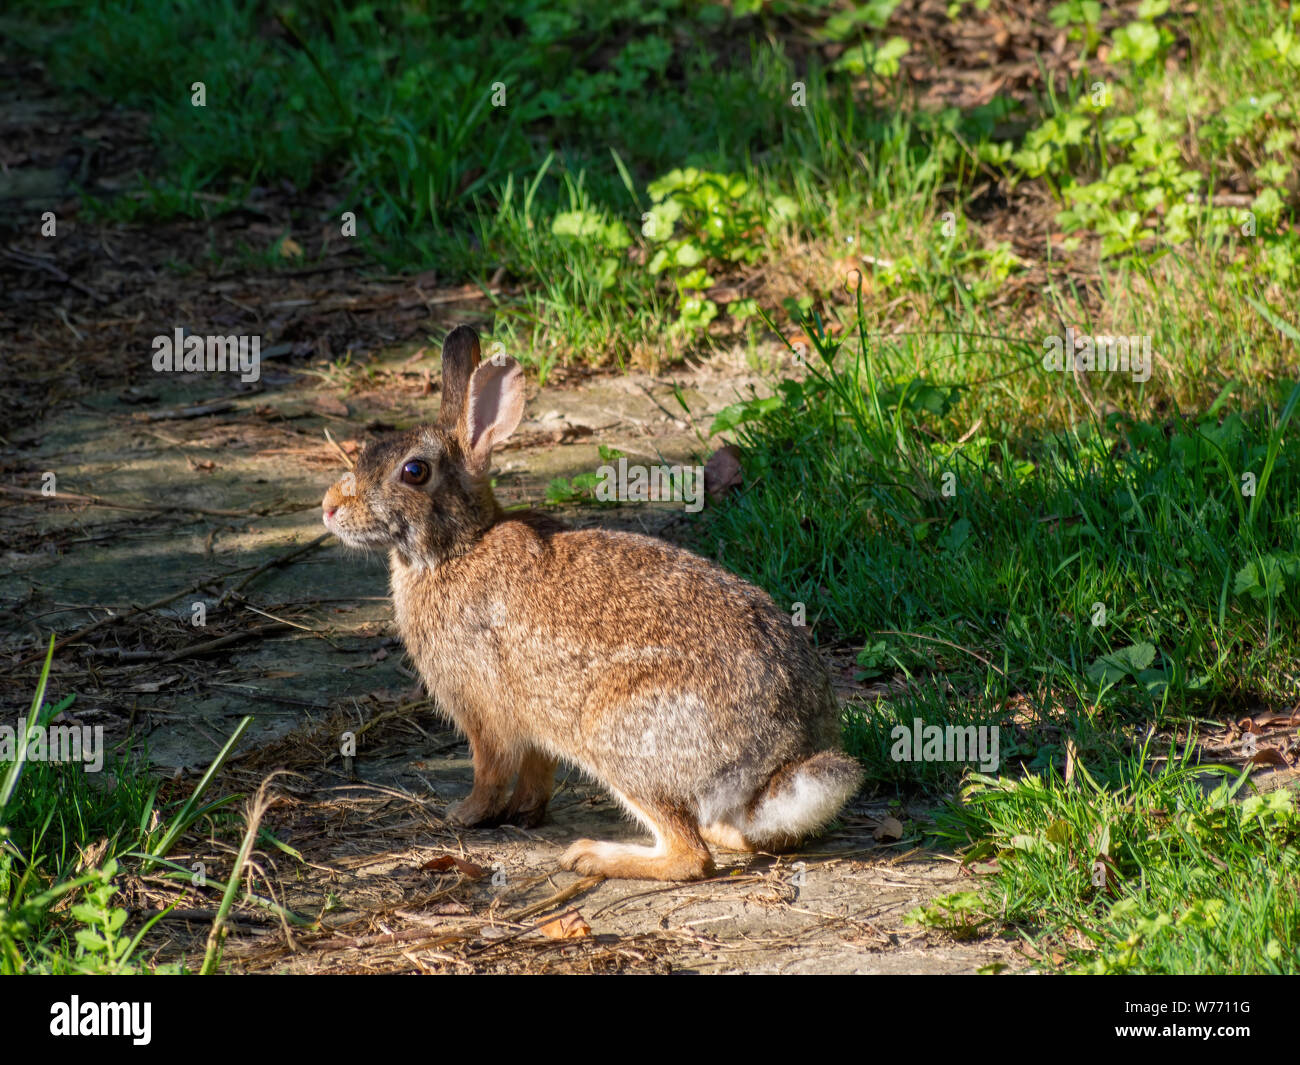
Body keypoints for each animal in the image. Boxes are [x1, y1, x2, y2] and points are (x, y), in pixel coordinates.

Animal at [321, 325, 862, 880]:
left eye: (413, 471)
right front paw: (525, 813)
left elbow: (489, 771)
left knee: (689, 855)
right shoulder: (533, 725)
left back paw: (591, 855)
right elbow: (535, 772)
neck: (458, 547)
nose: (330, 507)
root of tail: (782, 754)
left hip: (616, 737)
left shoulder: (484, 710)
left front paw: (464, 815)